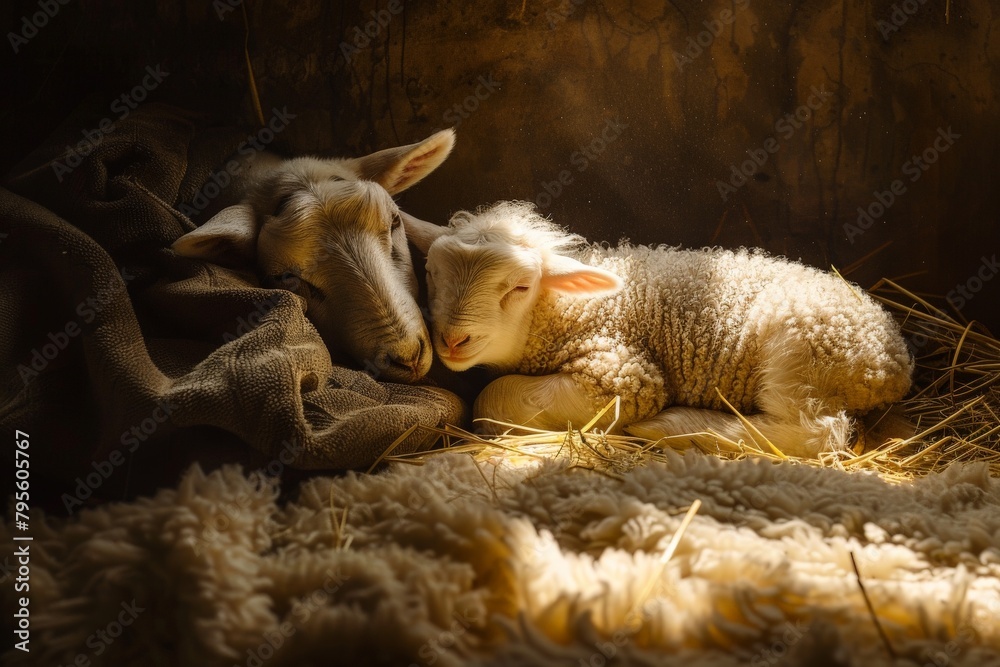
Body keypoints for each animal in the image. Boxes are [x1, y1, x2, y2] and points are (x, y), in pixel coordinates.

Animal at [404, 201, 914, 457]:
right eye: (430, 273)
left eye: (520, 286)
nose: (453, 340)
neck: (563, 312)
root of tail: (893, 360)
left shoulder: (623, 373)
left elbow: (491, 402)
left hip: (803, 351)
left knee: (816, 434)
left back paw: (674, 427)